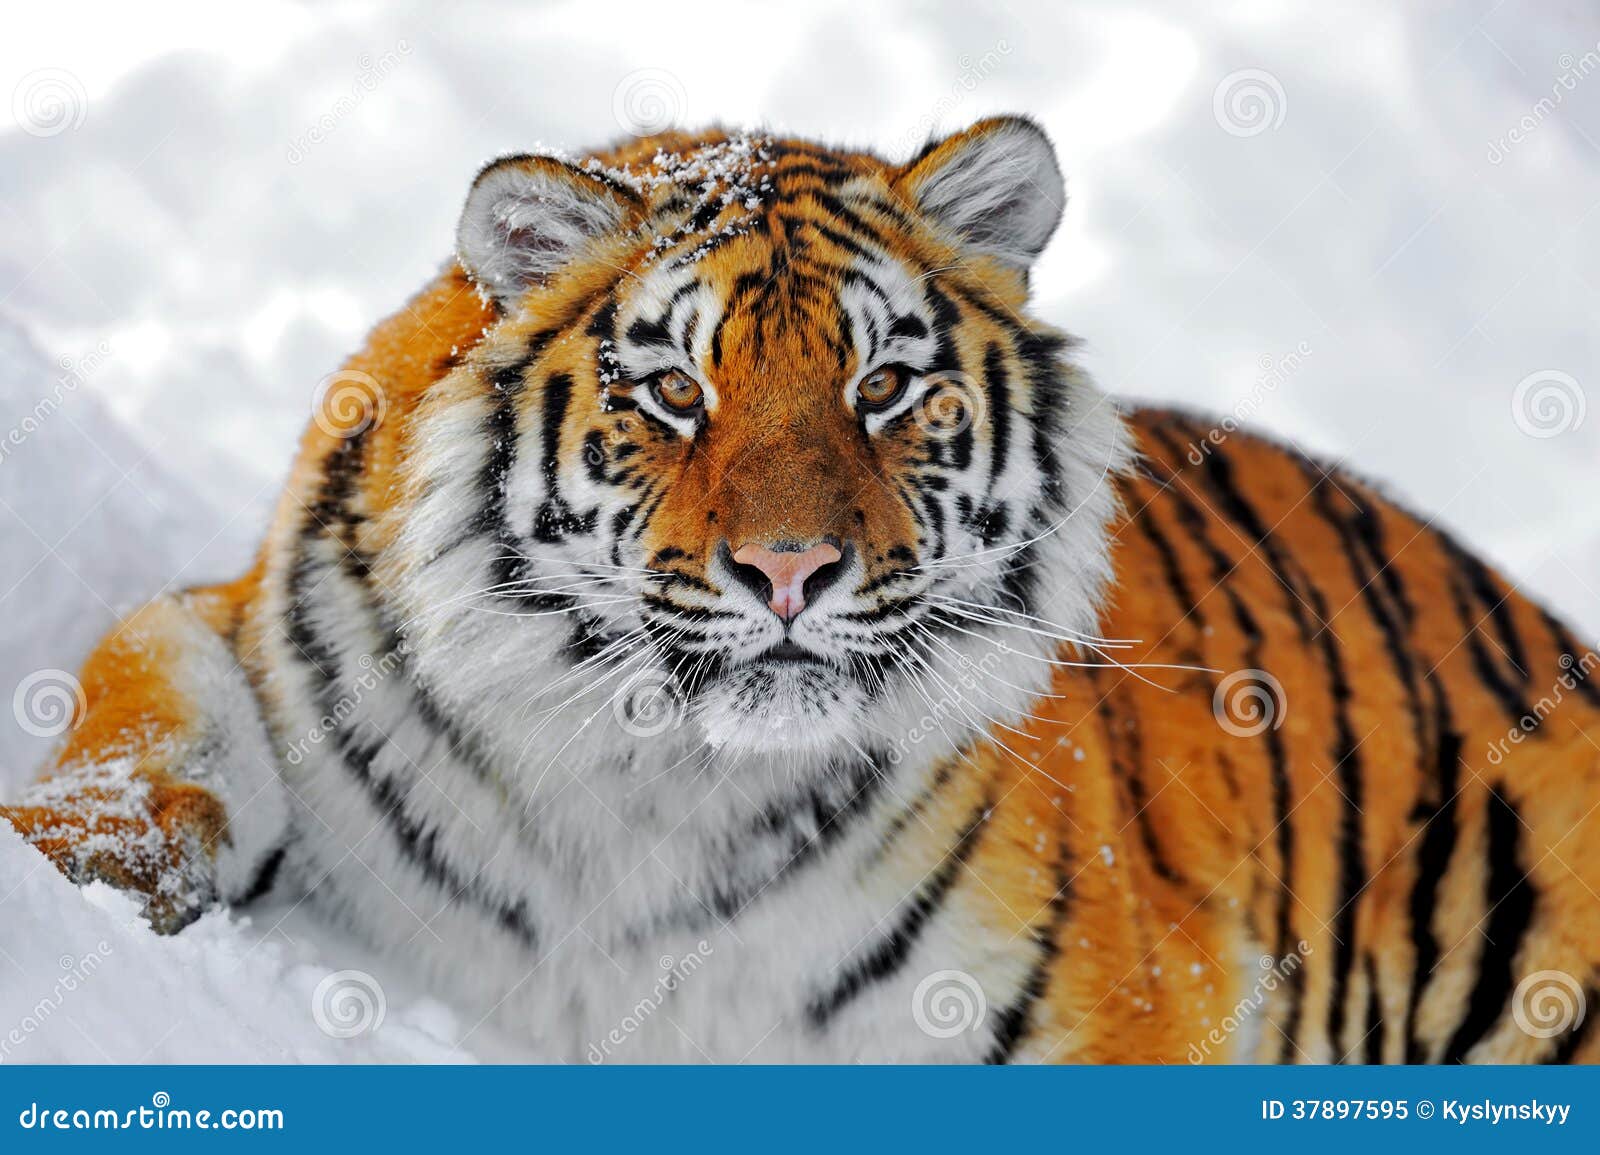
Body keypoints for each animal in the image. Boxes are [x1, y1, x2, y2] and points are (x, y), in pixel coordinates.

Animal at [5, 115, 1599, 1064]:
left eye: (880, 386)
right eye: (675, 389)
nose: (790, 569)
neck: (650, 782)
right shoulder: (239, 618)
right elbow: (153, 718)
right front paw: (78, 879)